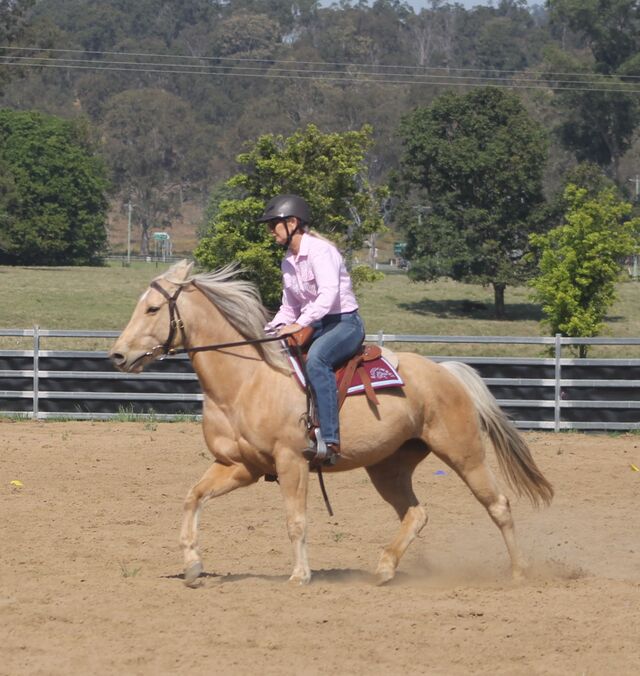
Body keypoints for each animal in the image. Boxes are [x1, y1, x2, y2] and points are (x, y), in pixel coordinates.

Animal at [109, 260, 553, 587]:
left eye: (152, 308)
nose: (117, 355)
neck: (246, 380)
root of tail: (445, 371)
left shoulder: (292, 461)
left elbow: (295, 521)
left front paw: (300, 575)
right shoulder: (238, 466)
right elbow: (192, 498)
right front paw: (192, 565)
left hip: (463, 452)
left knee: (498, 505)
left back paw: (518, 573)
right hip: (388, 467)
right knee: (416, 513)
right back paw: (385, 567)